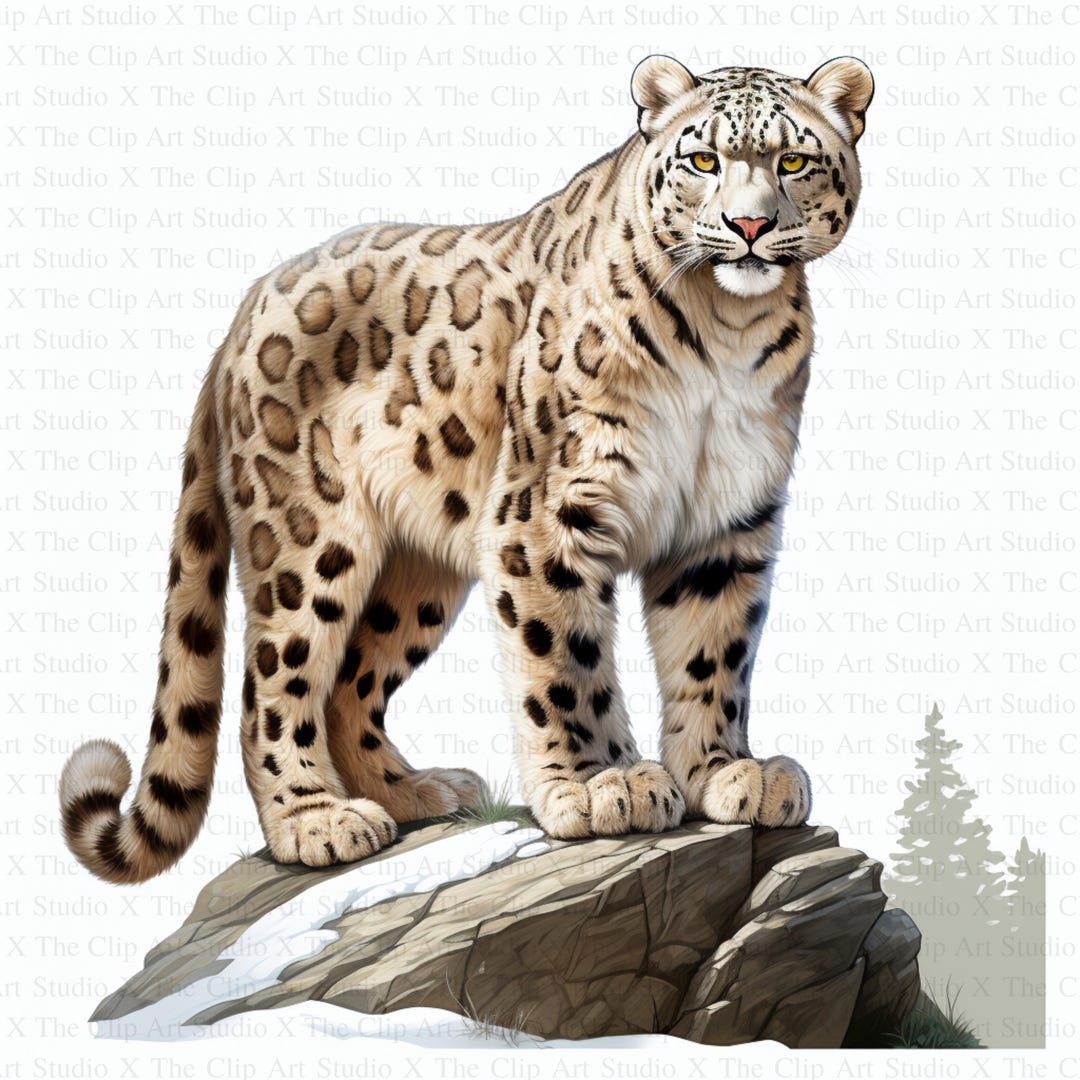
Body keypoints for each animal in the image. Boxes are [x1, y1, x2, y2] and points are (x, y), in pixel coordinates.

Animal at [60, 55, 874, 882]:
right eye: (704, 160)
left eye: (794, 161)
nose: (750, 227)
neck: (727, 330)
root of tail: (243, 313)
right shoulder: (548, 513)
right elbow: (568, 657)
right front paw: (603, 784)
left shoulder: (727, 520)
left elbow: (716, 654)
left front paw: (727, 772)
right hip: (305, 538)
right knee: (275, 679)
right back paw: (315, 820)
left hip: (417, 575)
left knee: (350, 682)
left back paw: (413, 791)